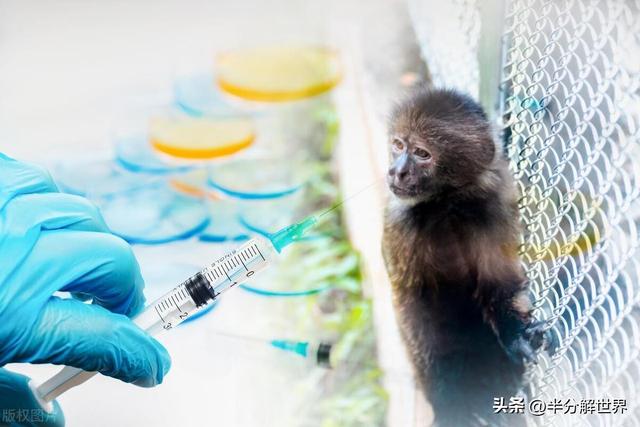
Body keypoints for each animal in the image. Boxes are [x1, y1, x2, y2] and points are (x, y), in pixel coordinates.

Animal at [382, 88, 554, 427]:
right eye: (398, 146)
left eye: (422, 153)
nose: (397, 171)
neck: (446, 202)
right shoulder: (400, 221)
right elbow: (412, 303)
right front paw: (450, 402)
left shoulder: (494, 202)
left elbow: (501, 282)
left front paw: (516, 335)